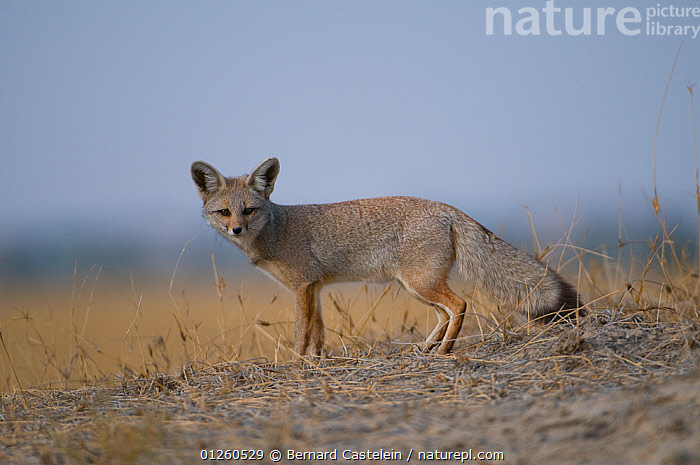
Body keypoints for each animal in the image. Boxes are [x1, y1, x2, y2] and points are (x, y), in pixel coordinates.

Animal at [191, 158, 583, 357]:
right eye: (224, 212)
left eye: (250, 210)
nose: (236, 230)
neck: (275, 229)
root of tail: (447, 208)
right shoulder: (315, 288)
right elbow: (318, 331)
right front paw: (318, 362)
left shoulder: (302, 286)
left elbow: (302, 332)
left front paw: (296, 365)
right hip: (414, 286)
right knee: (445, 312)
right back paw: (428, 346)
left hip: (420, 283)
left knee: (459, 305)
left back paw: (445, 351)